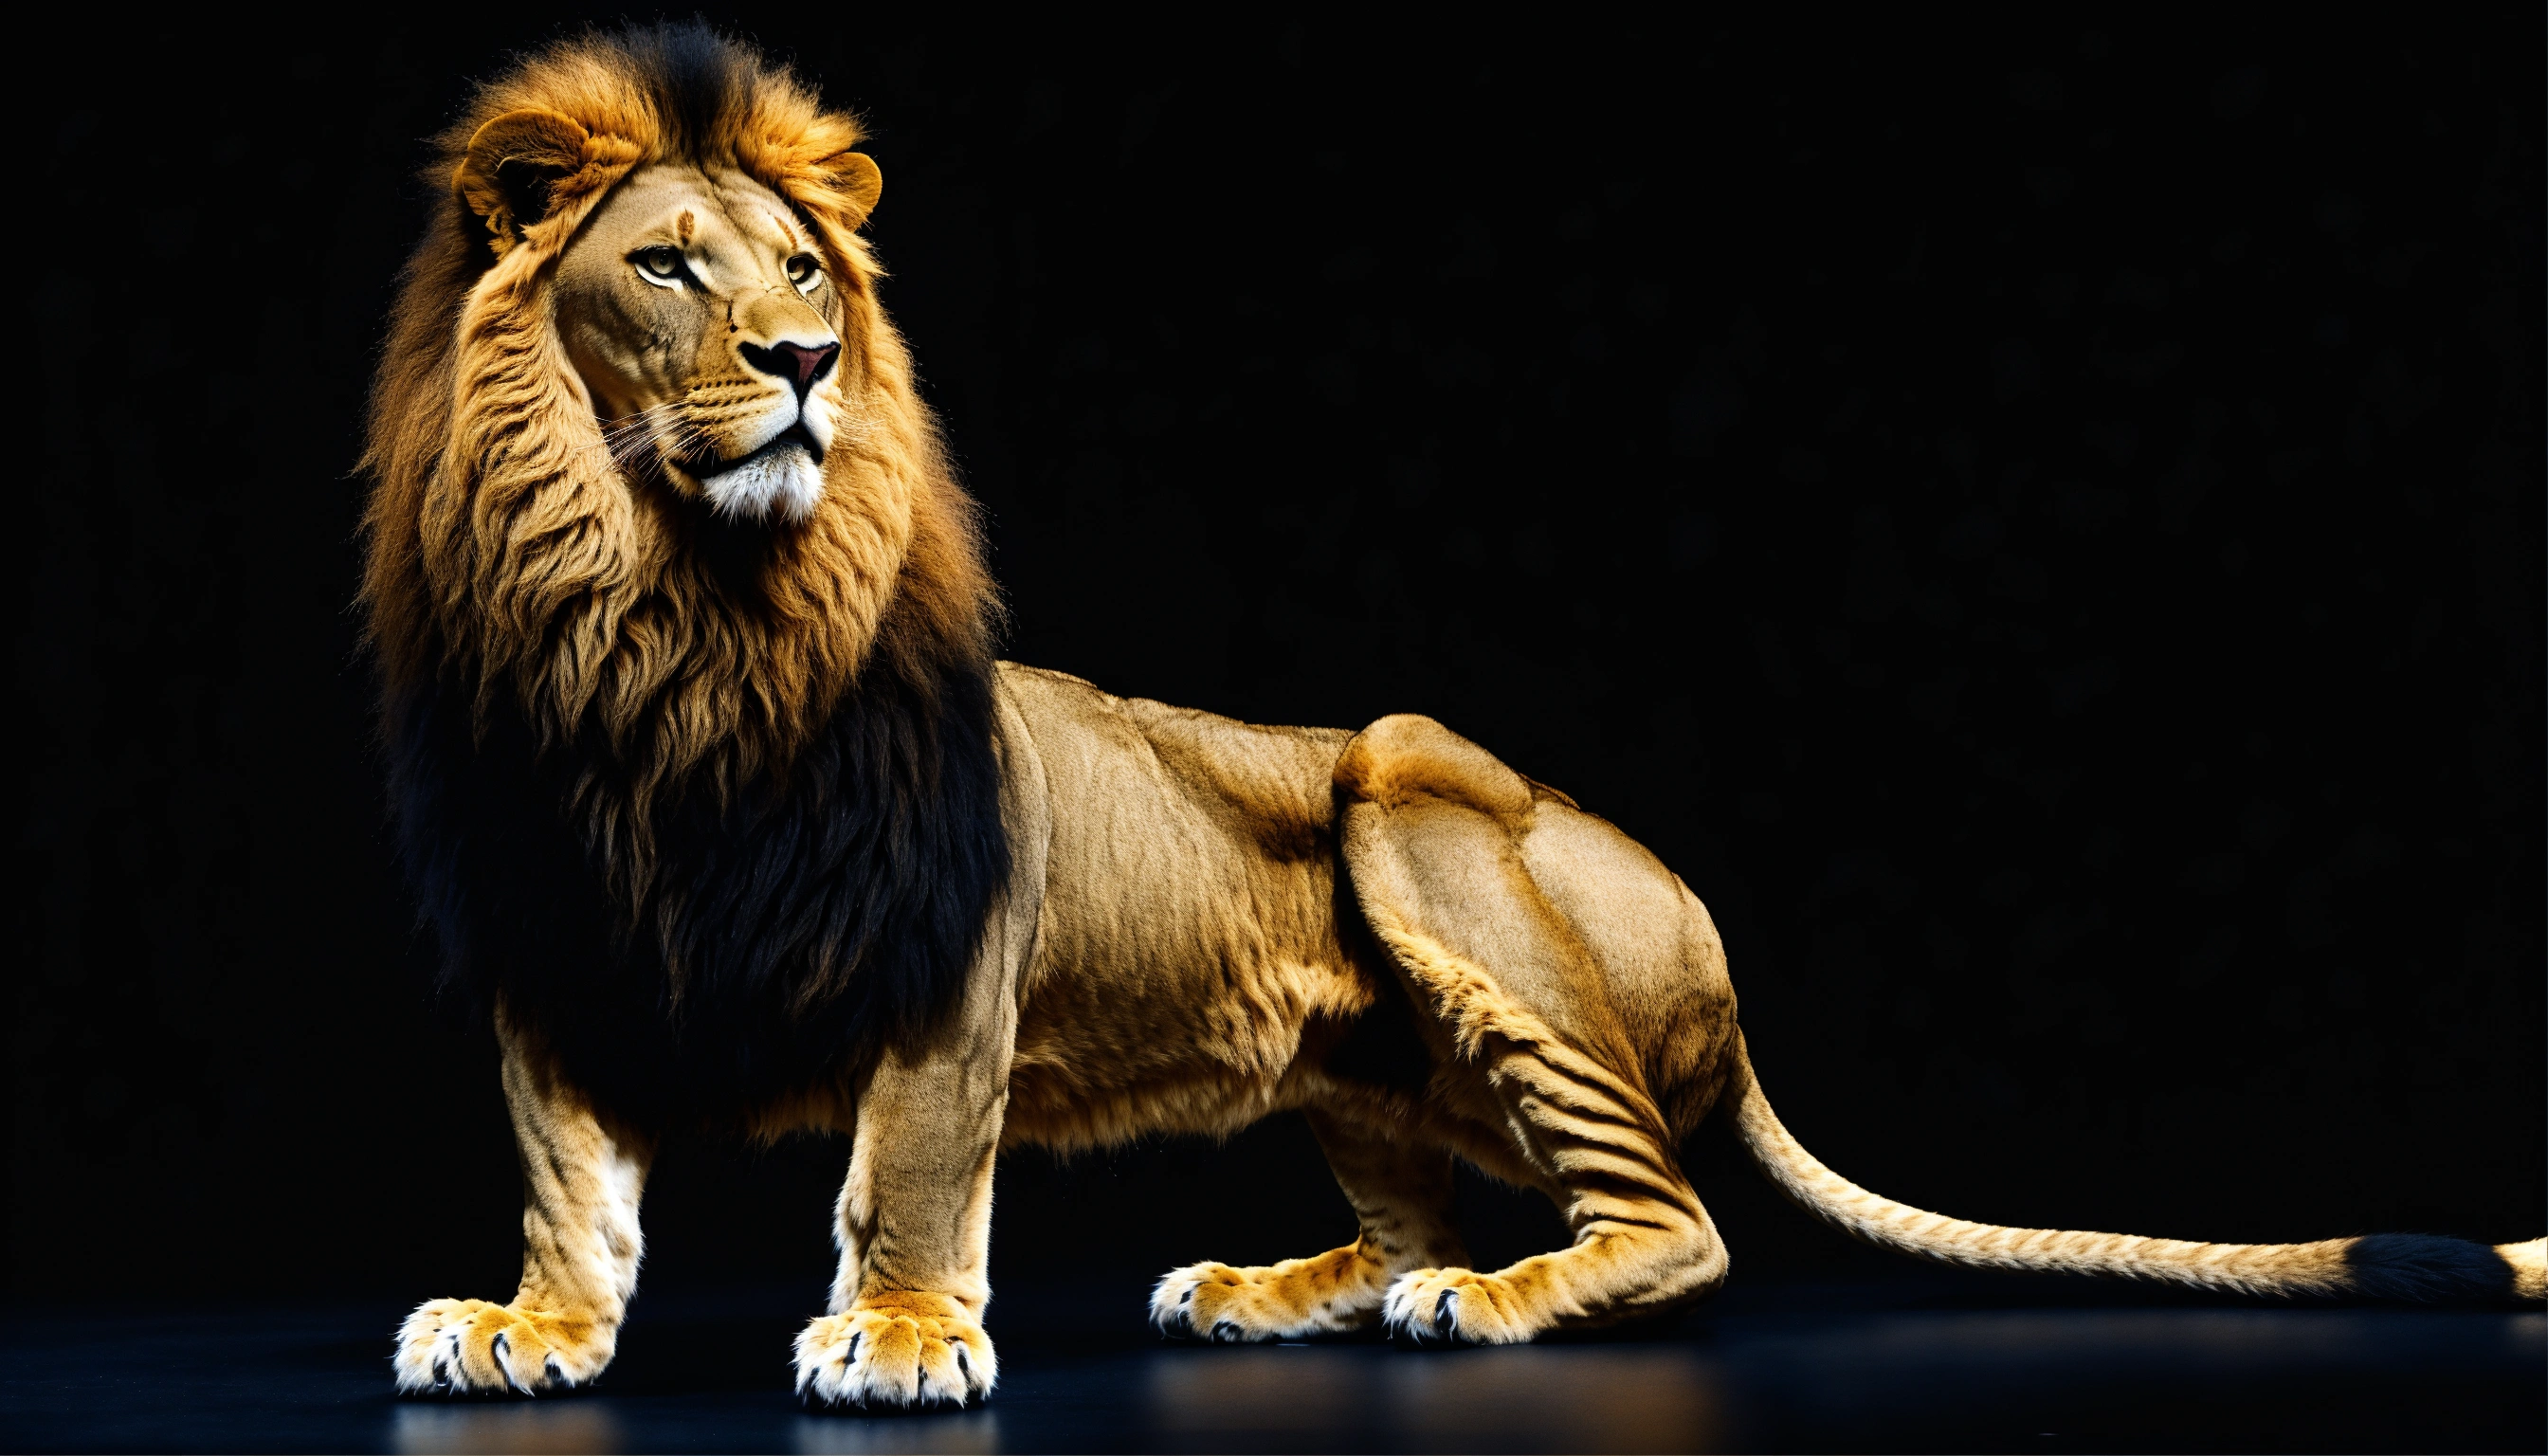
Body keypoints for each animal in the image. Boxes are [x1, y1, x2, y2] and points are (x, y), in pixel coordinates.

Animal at [362, 24, 2545, 1411]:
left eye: (807, 272)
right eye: (667, 265)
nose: (808, 360)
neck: (670, 624)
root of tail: (1714, 963)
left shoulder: (949, 948)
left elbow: (905, 1159)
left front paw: (900, 1340)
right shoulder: (543, 946)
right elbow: (570, 1170)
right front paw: (532, 1326)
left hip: (1414, 791)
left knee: (1668, 1221)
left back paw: (1482, 1297)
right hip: (1357, 1052)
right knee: (1426, 1190)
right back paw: (1284, 1284)